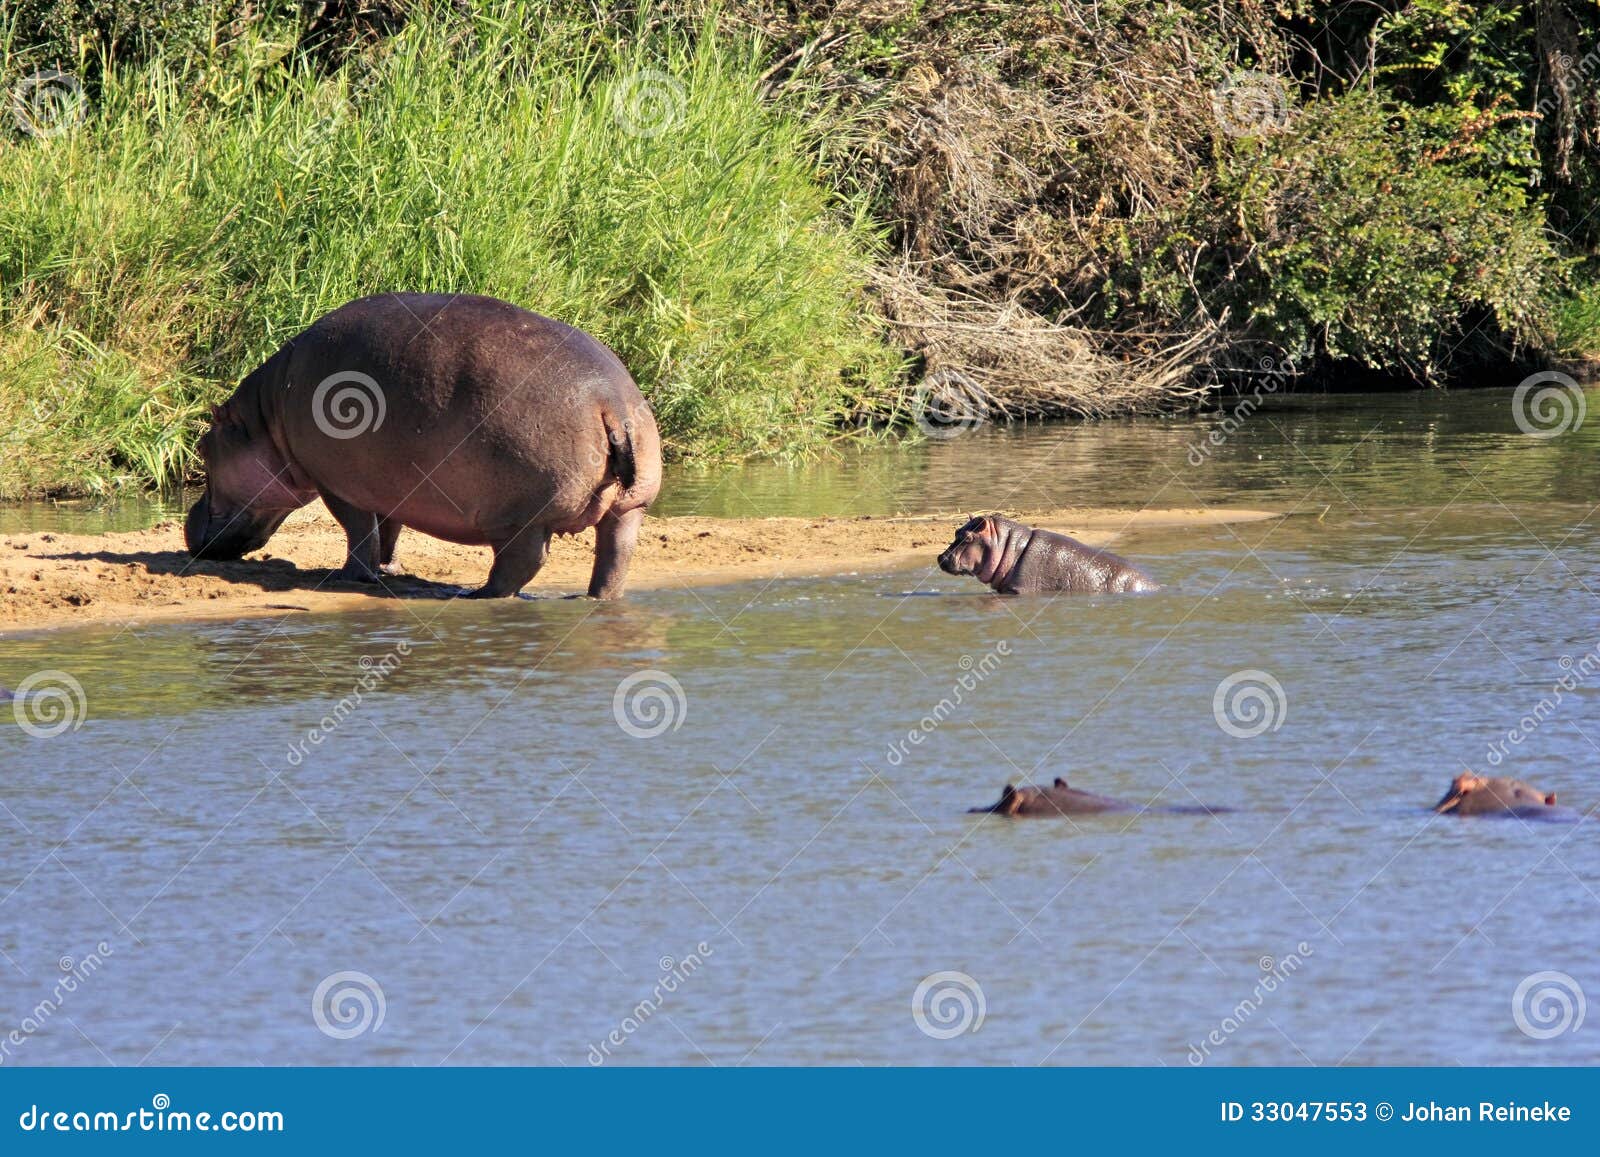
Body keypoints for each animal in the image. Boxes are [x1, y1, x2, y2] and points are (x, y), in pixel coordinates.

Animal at [185, 293, 661, 599]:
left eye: (204, 448)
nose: (188, 526)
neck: (267, 420)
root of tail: (611, 400)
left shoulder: (335, 485)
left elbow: (358, 531)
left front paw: (350, 576)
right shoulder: (384, 483)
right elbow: (388, 528)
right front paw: (389, 568)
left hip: (521, 518)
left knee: (521, 564)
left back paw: (478, 595)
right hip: (630, 508)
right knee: (615, 559)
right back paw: (591, 600)